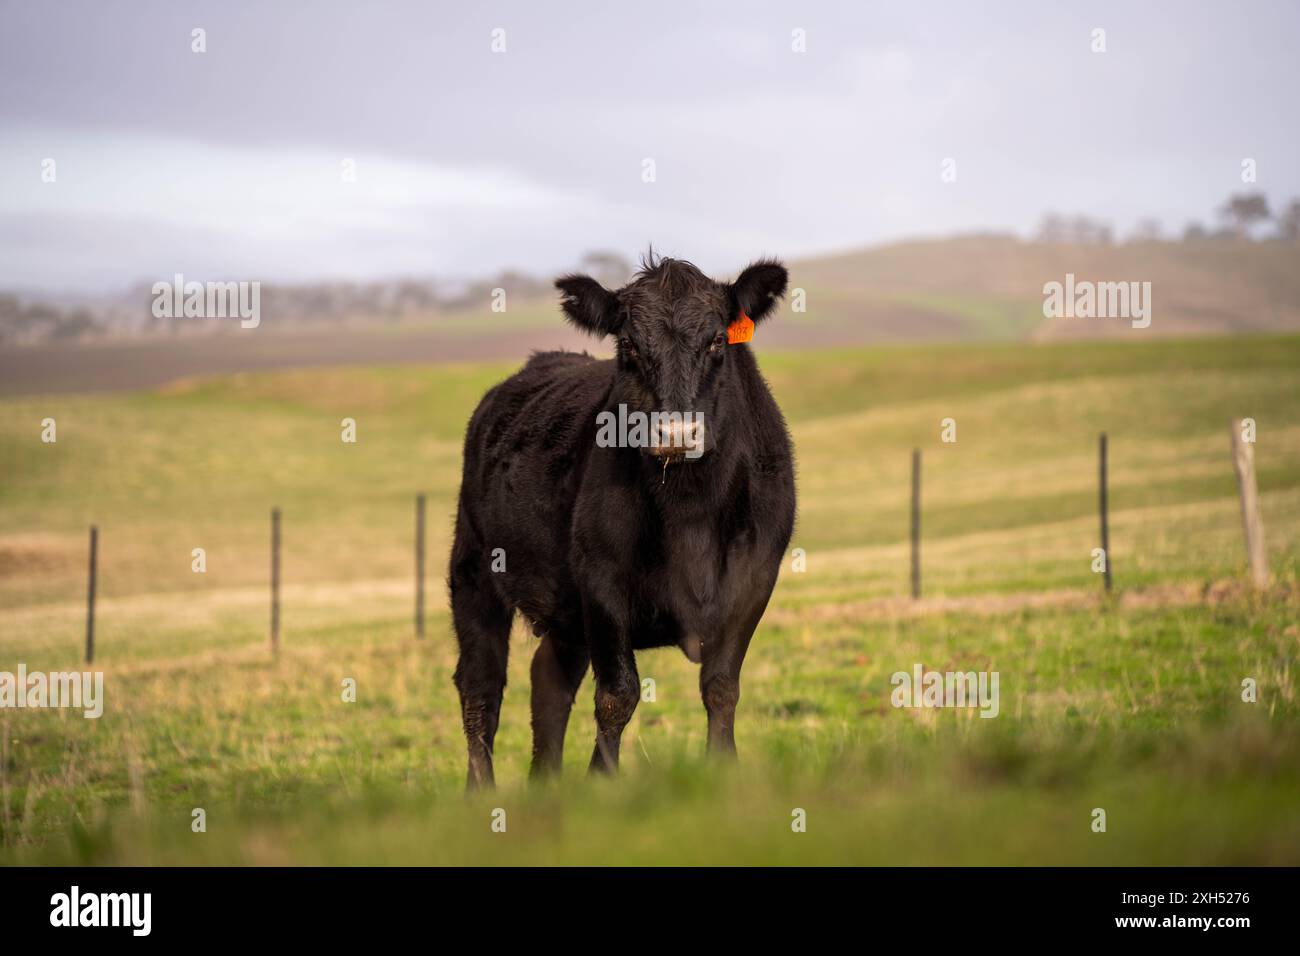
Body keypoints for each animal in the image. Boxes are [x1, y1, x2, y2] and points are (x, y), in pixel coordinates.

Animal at [448, 254, 795, 788]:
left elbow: (721, 686)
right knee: (480, 684)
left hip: (562, 609)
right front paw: (602, 782)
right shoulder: (602, 580)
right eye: (628, 344)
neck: (690, 510)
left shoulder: (754, 579)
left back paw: (545, 784)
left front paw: (722, 769)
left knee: (548, 678)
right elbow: (618, 694)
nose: (676, 433)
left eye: (718, 340)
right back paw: (480, 791)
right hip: (473, 569)